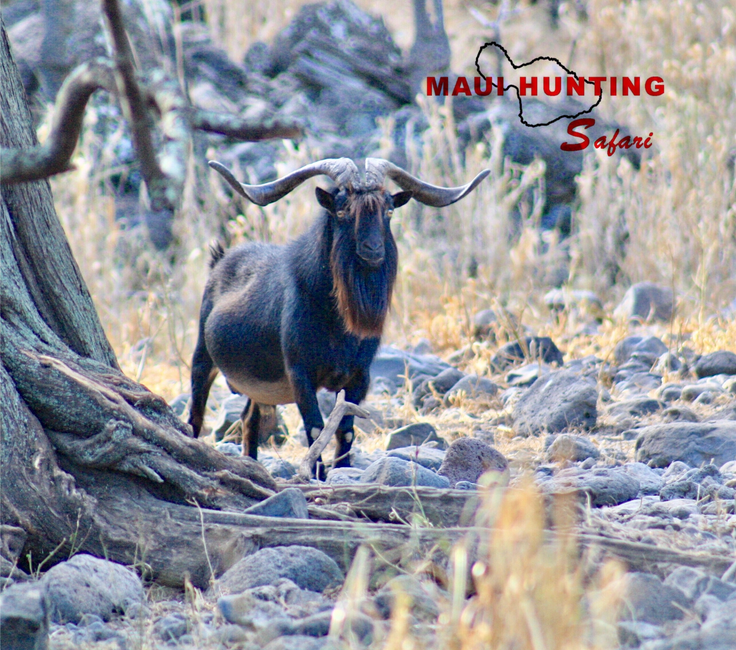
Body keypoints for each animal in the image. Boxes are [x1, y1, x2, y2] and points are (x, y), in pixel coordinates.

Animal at [189, 157, 489, 476]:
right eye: (344, 211)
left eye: (388, 210)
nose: (373, 250)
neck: (336, 323)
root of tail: (219, 260)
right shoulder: (300, 373)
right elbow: (315, 428)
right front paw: (317, 475)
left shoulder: (358, 375)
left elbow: (345, 430)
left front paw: (341, 469)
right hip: (203, 355)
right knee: (196, 414)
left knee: (249, 418)